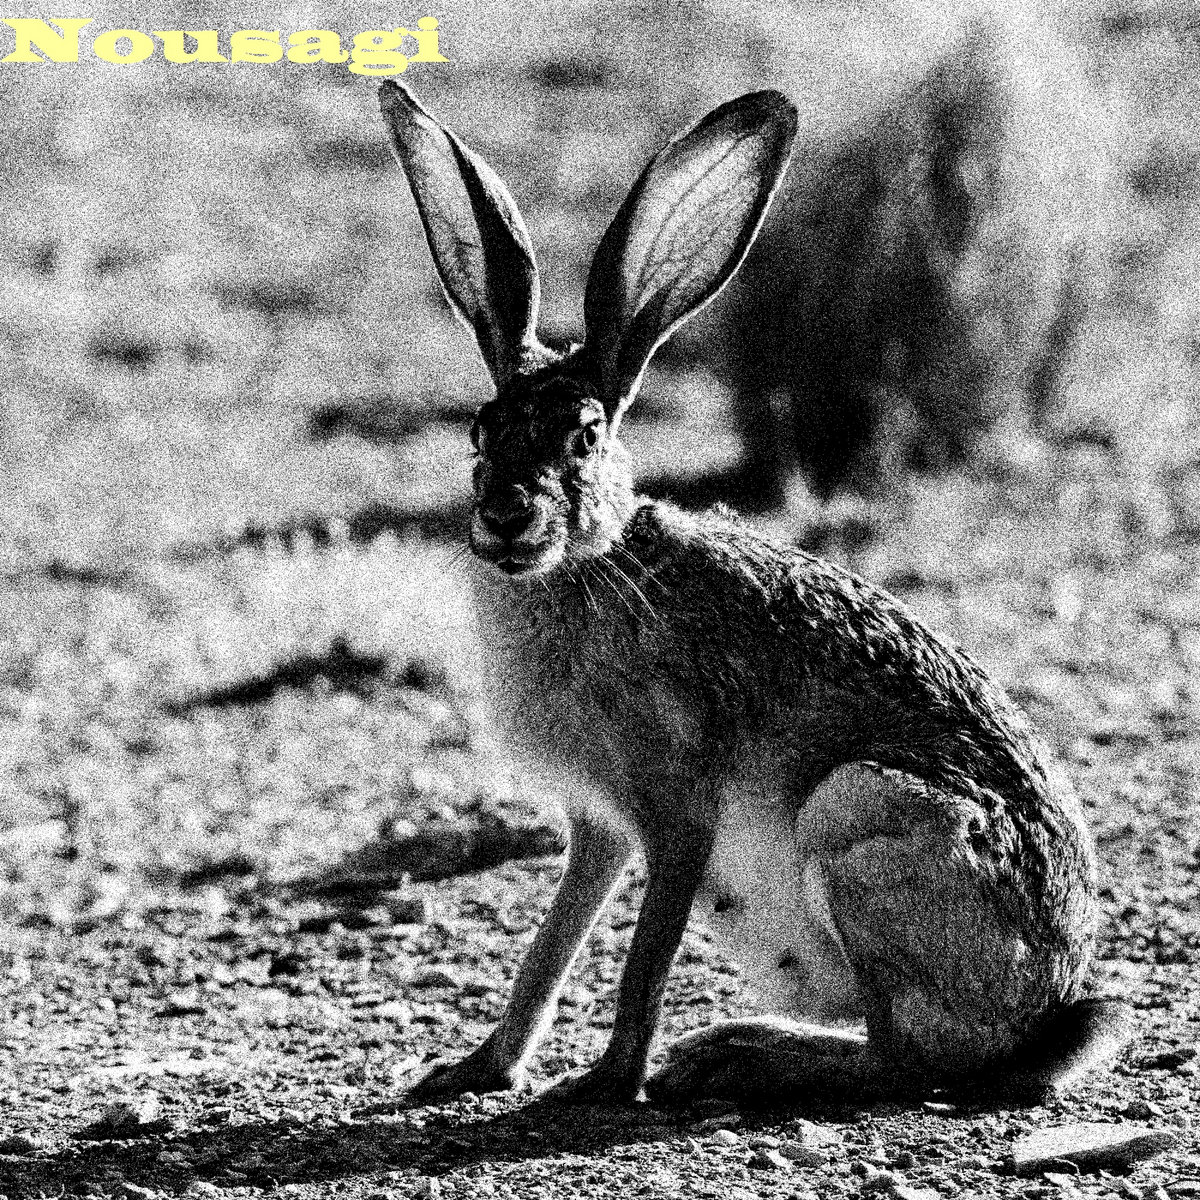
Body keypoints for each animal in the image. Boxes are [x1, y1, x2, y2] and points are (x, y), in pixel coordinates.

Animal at [378, 79, 1132, 1108]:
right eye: (480, 431)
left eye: (583, 437)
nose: (503, 518)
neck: (587, 563)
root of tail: (1047, 1010)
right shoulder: (600, 825)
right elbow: (550, 948)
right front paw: (474, 1070)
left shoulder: (678, 808)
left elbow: (644, 957)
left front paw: (606, 1081)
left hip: (862, 819)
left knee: (904, 1056)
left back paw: (738, 1057)